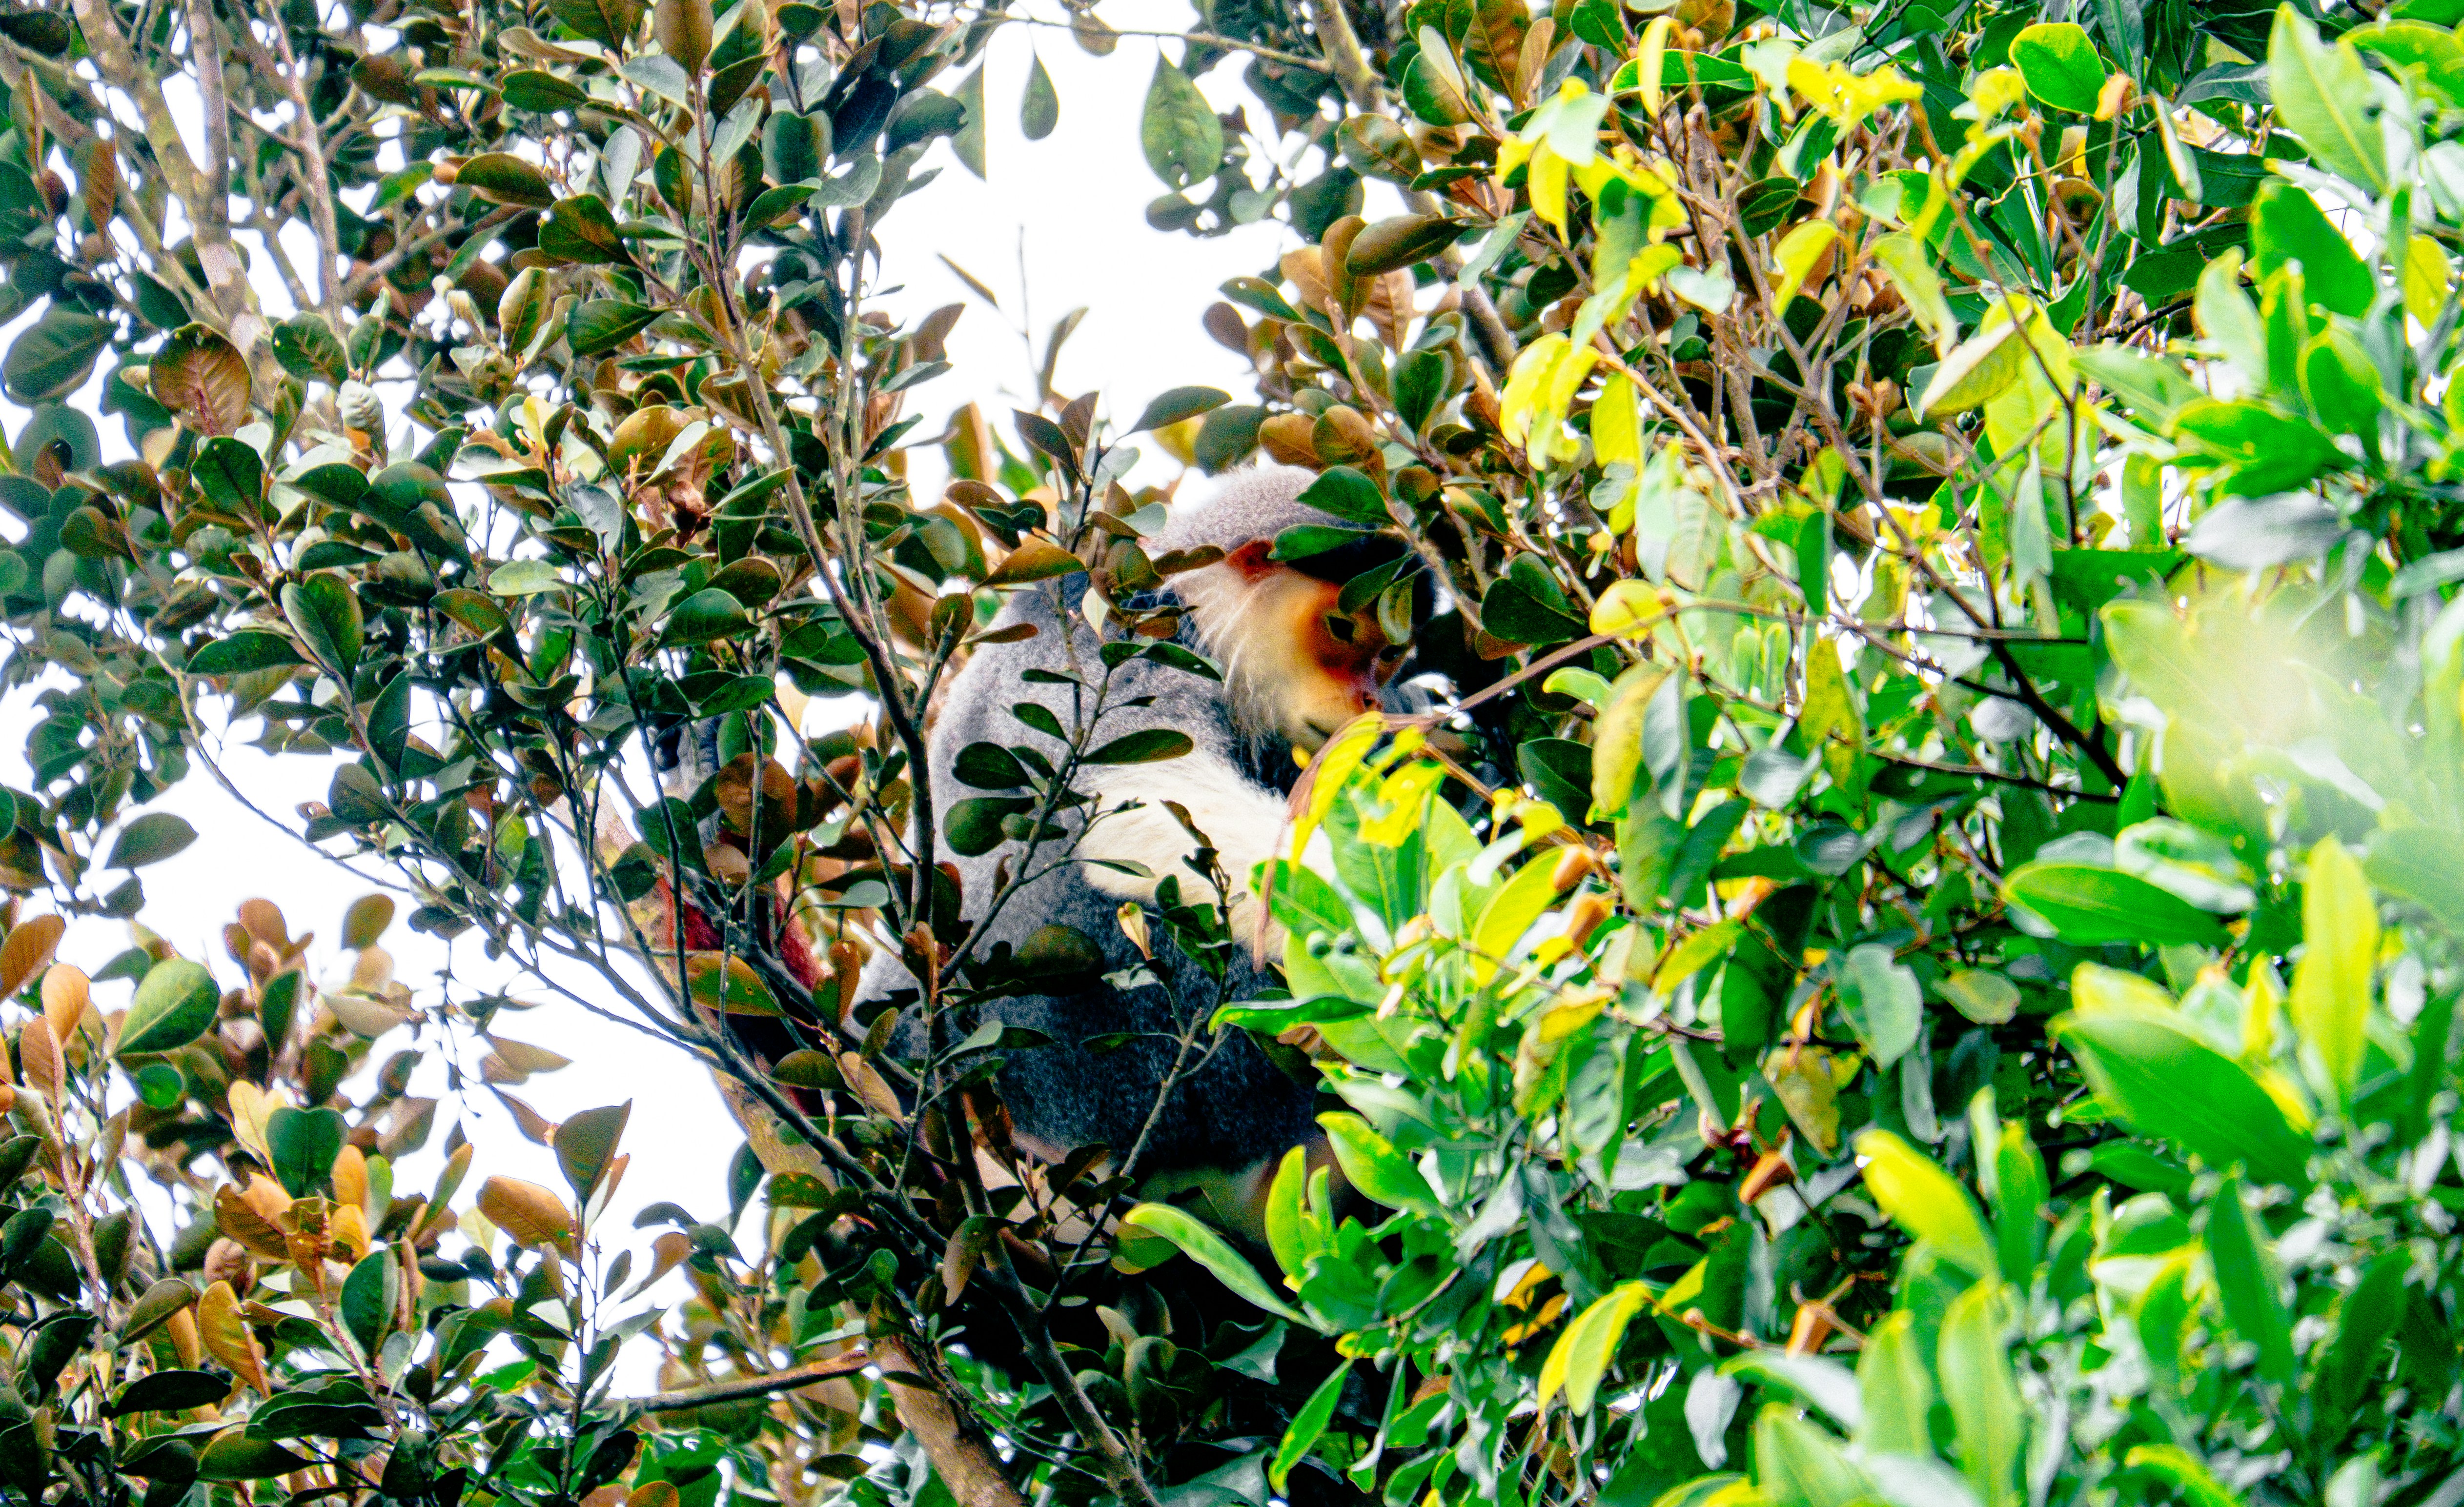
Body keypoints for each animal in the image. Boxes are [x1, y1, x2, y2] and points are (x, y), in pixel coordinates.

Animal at [856, 464, 1428, 1238]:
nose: (1368, 698)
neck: (1189, 613)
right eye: (1341, 630)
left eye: (1388, 653)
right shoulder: (1121, 645)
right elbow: (1149, 804)